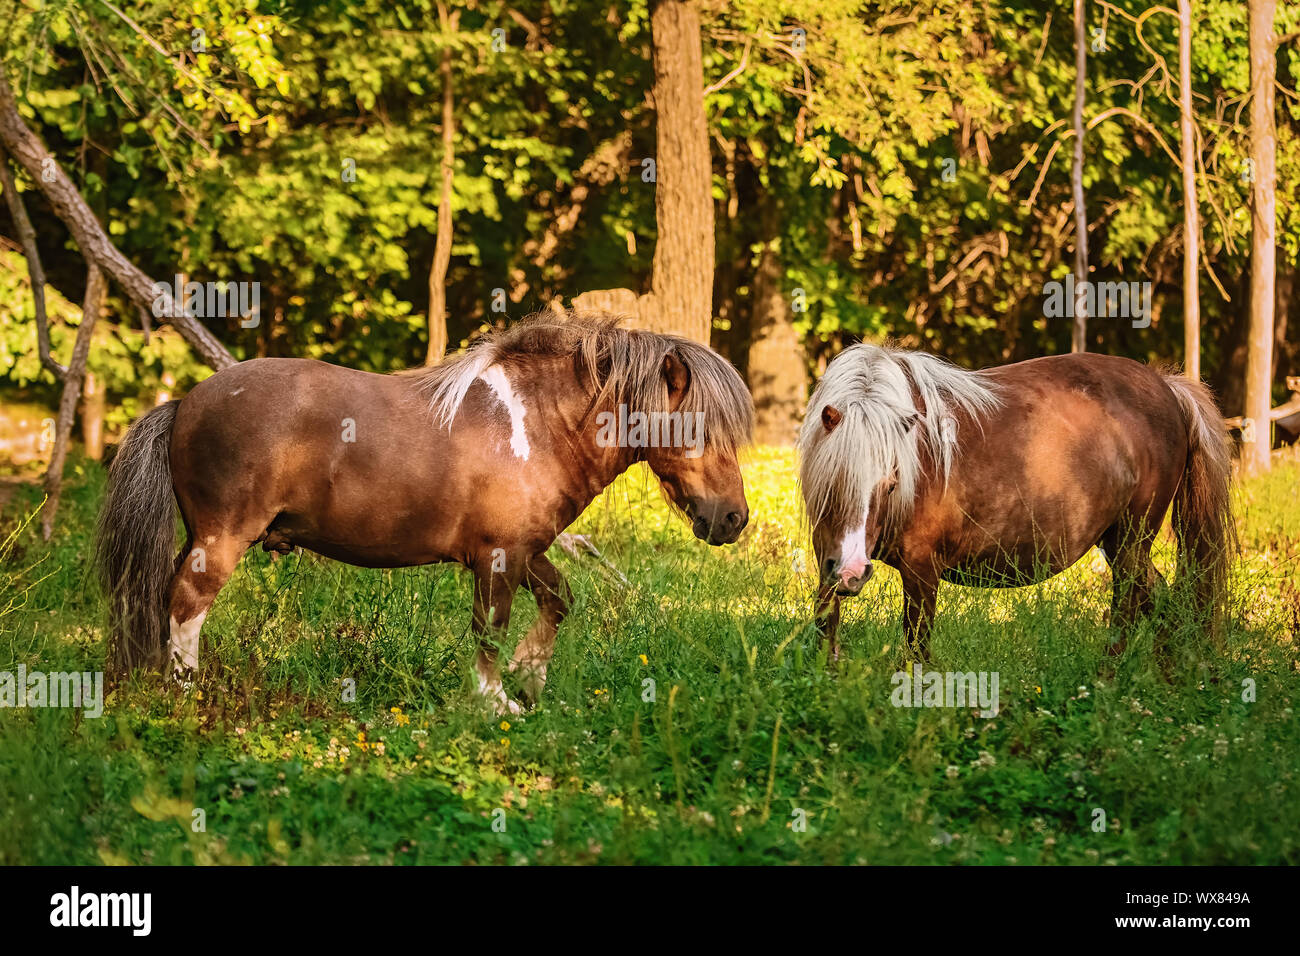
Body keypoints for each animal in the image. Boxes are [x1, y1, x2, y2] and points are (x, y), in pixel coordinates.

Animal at [96, 311, 754, 713]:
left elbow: (559, 601)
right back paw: (187, 693)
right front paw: (495, 702)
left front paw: (530, 678)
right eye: (699, 427)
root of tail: (184, 402)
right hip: (223, 537)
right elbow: (489, 631)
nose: (732, 519)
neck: (534, 426)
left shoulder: (526, 550)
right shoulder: (498, 558)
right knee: (187, 603)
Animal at [797, 345, 1235, 661]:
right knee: (1160, 601)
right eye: (835, 476)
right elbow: (825, 624)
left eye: (891, 482)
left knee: (1129, 607)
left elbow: (916, 645)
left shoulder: (921, 569)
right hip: (1118, 543)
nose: (852, 572)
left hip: (1131, 542)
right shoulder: (826, 555)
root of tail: (1165, 385)